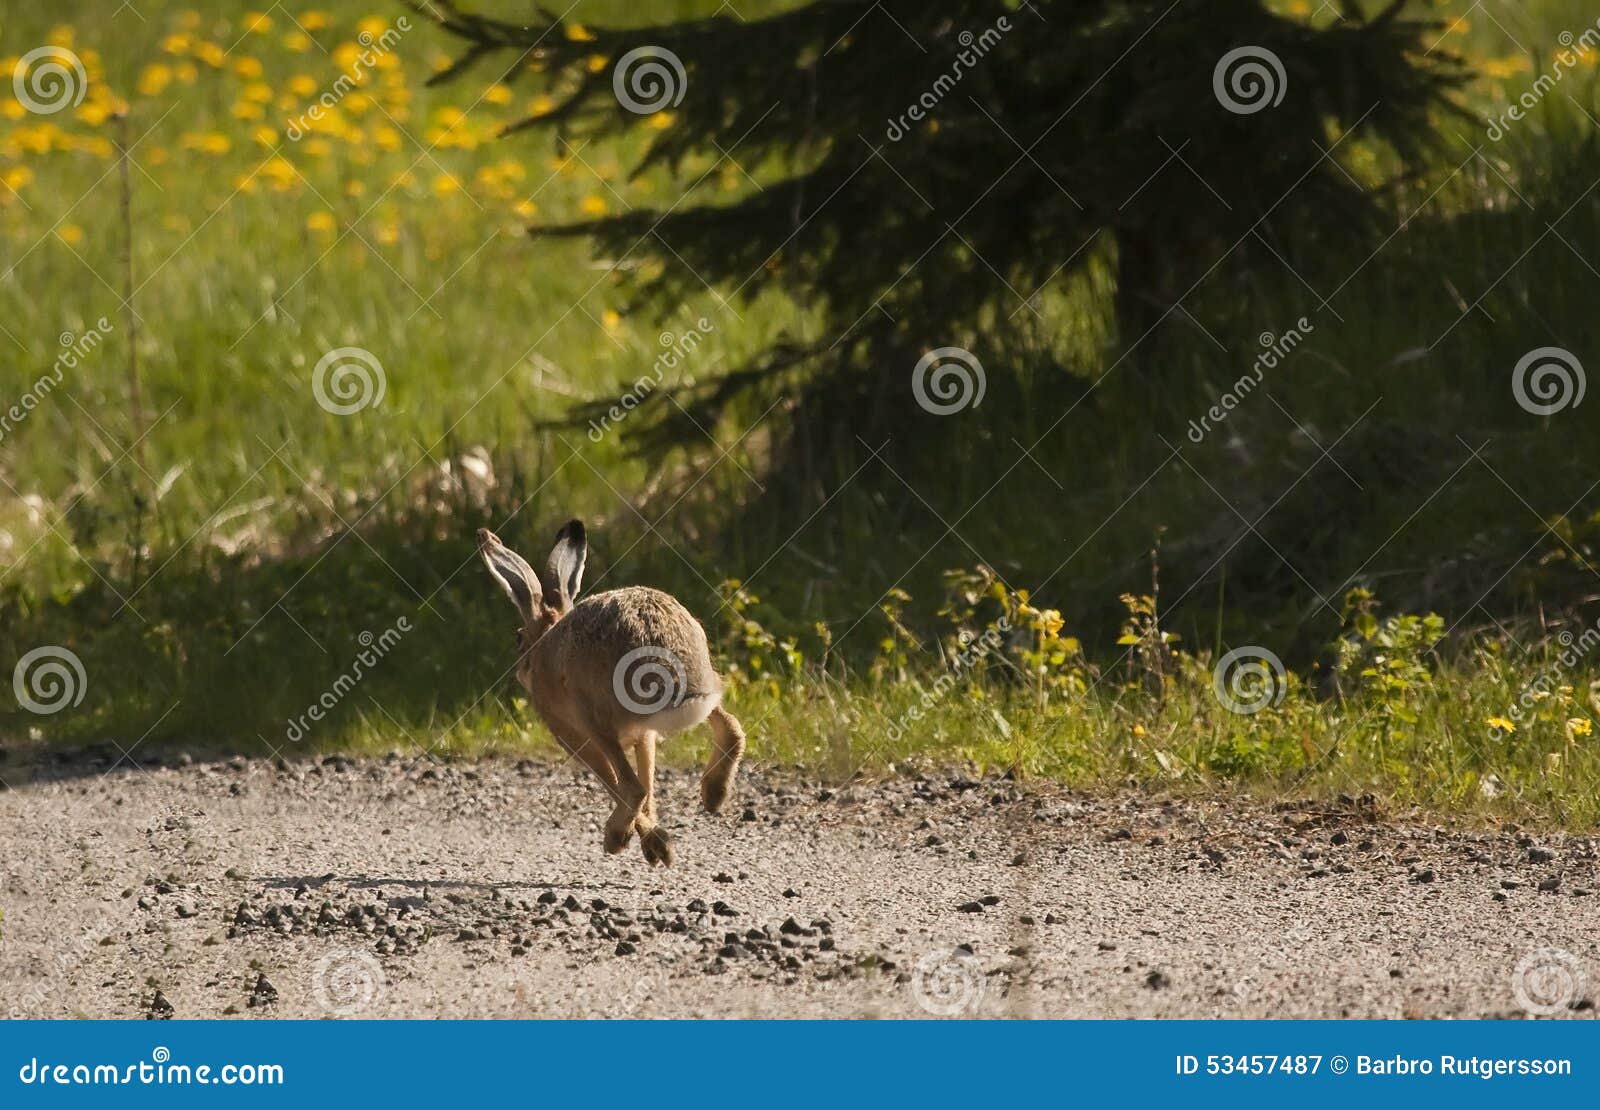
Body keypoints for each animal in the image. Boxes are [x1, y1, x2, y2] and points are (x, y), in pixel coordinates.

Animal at [476, 520, 745, 867]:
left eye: (518, 638)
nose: (520, 668)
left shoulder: (570, 735)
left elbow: (617, 782)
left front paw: (644, 841)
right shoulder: (644, 735)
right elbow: (648, 780)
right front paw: (656, 845)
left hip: (594, 715)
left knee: (631, 787)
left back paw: (614, 837)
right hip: (706, 681)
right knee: (731, 728)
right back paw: (714, 794)